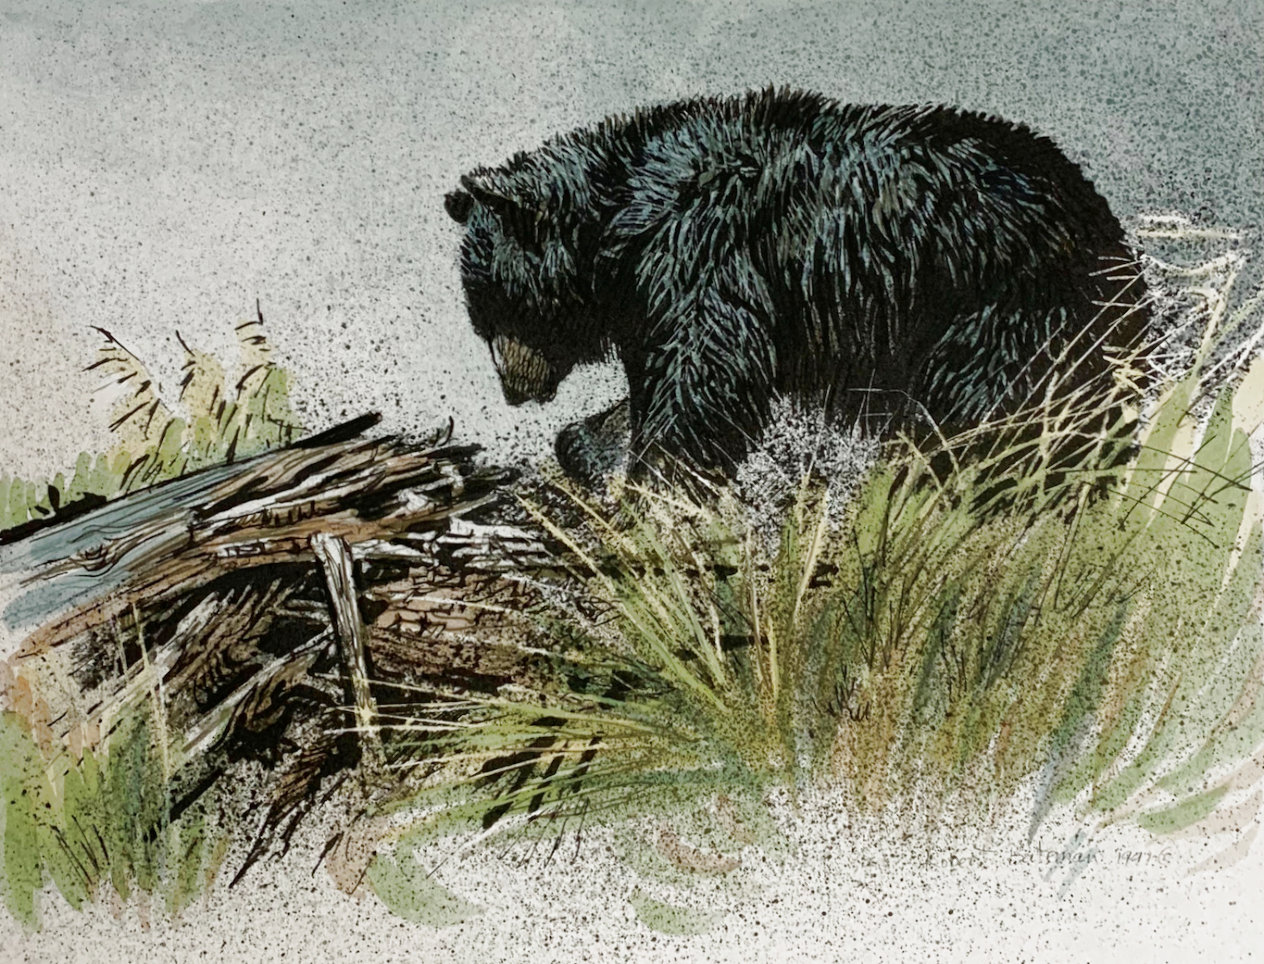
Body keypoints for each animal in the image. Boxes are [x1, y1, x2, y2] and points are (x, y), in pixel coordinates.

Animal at [444, 87, 1150, 489]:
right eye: (481, 319)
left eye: (499, 309)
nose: (513, 391)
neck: (625, 214)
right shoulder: (651, 295)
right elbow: (664, 375)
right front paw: (591, 447)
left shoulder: (707, 249)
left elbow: (706, 375)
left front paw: (657, 484)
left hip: (1008, 311)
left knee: (984, 414)